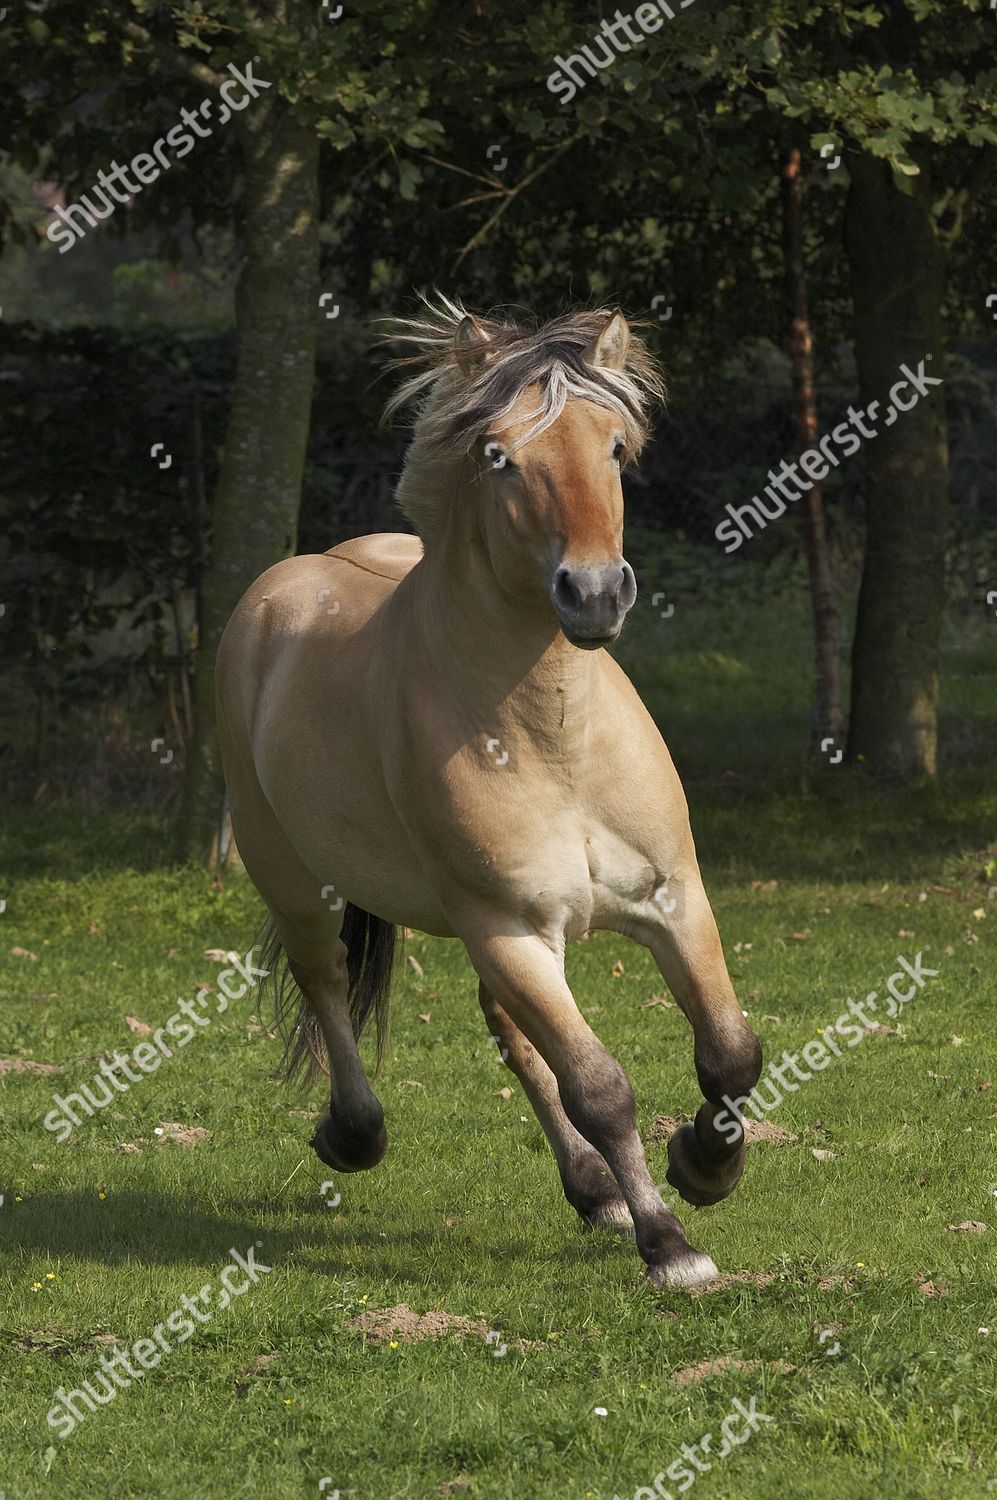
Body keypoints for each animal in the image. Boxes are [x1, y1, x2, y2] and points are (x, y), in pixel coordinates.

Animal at [216, 297, 762, 1288]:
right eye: (500, 455)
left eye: (614, 448)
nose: (593, 593)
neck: (554, 741)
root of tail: (289, 580)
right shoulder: (509, 928)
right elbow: (600, 1086)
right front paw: (669, 1244)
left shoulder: (673, 901)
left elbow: (729, 1053)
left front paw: (704, 1167)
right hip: (300, 881)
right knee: (326, 979)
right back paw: (351, 1134)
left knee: (508, 1037)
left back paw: (591, 1191)